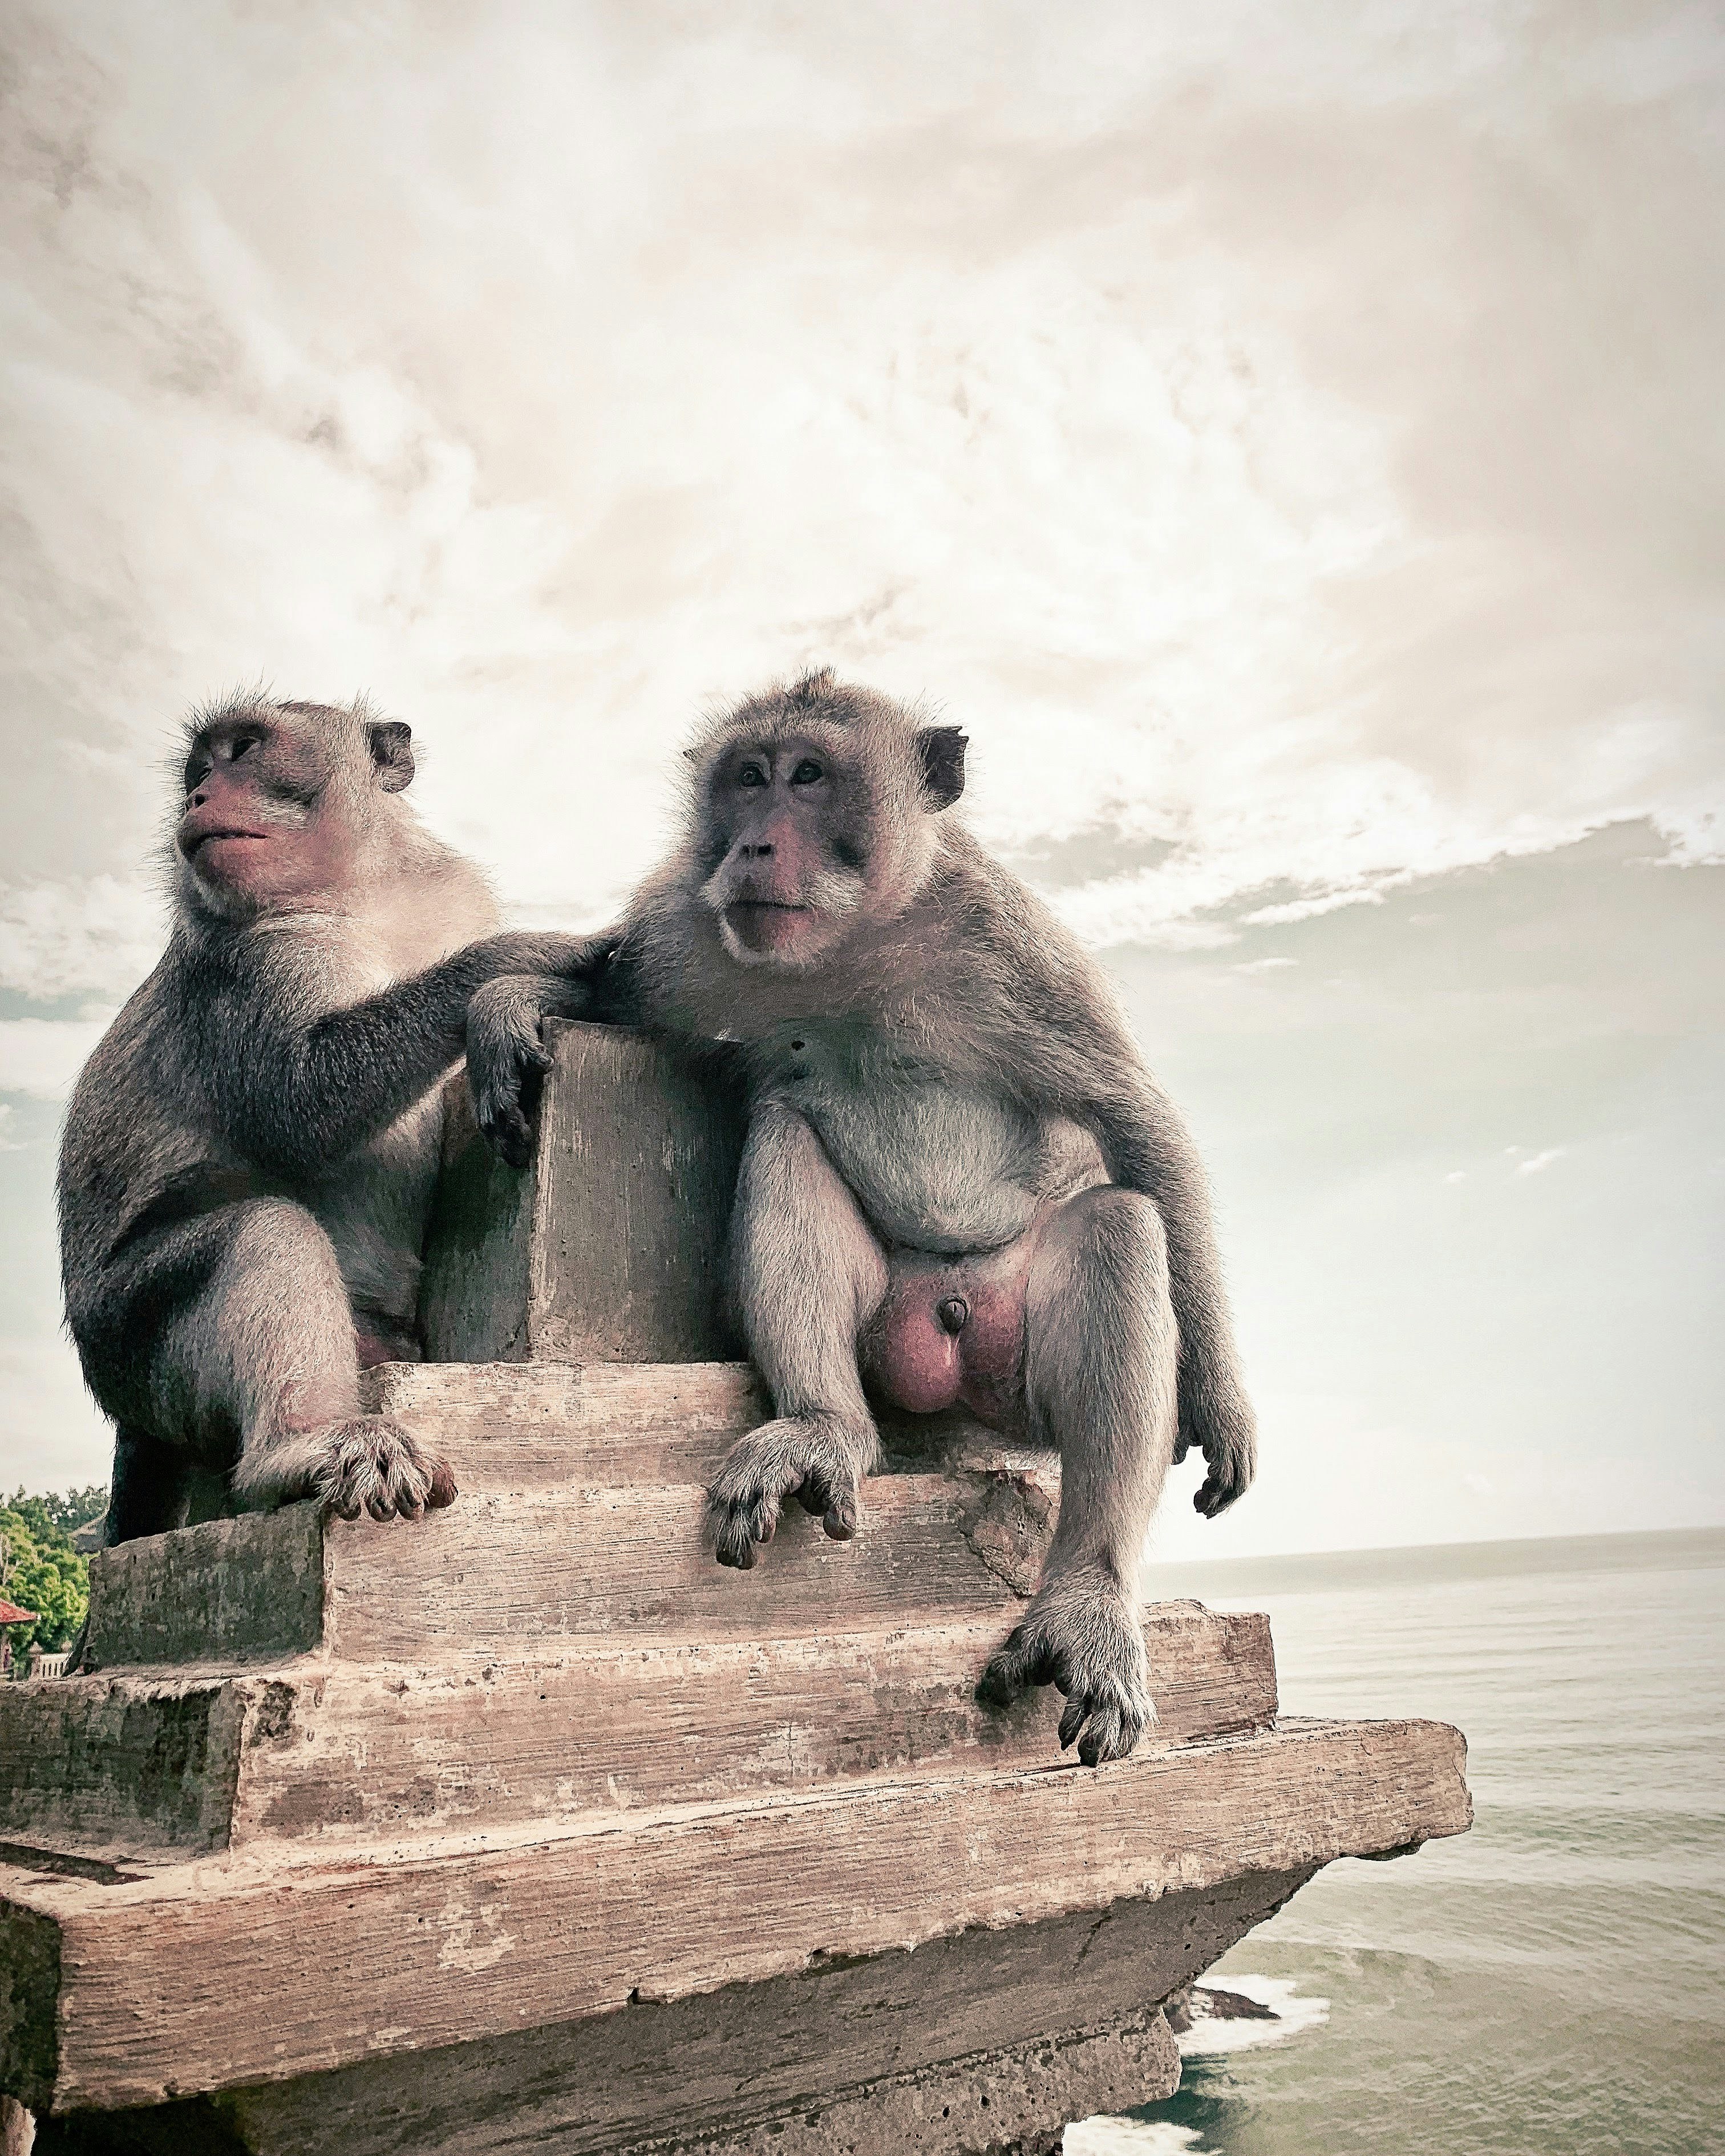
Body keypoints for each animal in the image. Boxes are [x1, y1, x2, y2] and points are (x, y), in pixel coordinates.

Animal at [58, 693, 594, 1550]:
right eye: (199, 768)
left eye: (243, 749)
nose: (198, 796)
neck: (364, 894)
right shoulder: (254, 960)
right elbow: (302, 1103)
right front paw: (536, 955)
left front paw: (517, 1002)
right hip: (129, 1345)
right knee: (263, 1231)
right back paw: (304, 1445)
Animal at [465, 669, 1257, 1768]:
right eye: (747, 778)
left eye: (808, 777)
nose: (755, 845)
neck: (856, 942)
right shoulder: (683, 937)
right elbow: (619, 981)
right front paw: (509, 1001)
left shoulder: (1019, 949)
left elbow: (1137, 1128)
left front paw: (1222, 1403)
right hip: (896, 1331)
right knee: (787, 1132)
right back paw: (823, 1428)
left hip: (1008, 1371)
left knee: (1117, 1226)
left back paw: (1090, 1600)